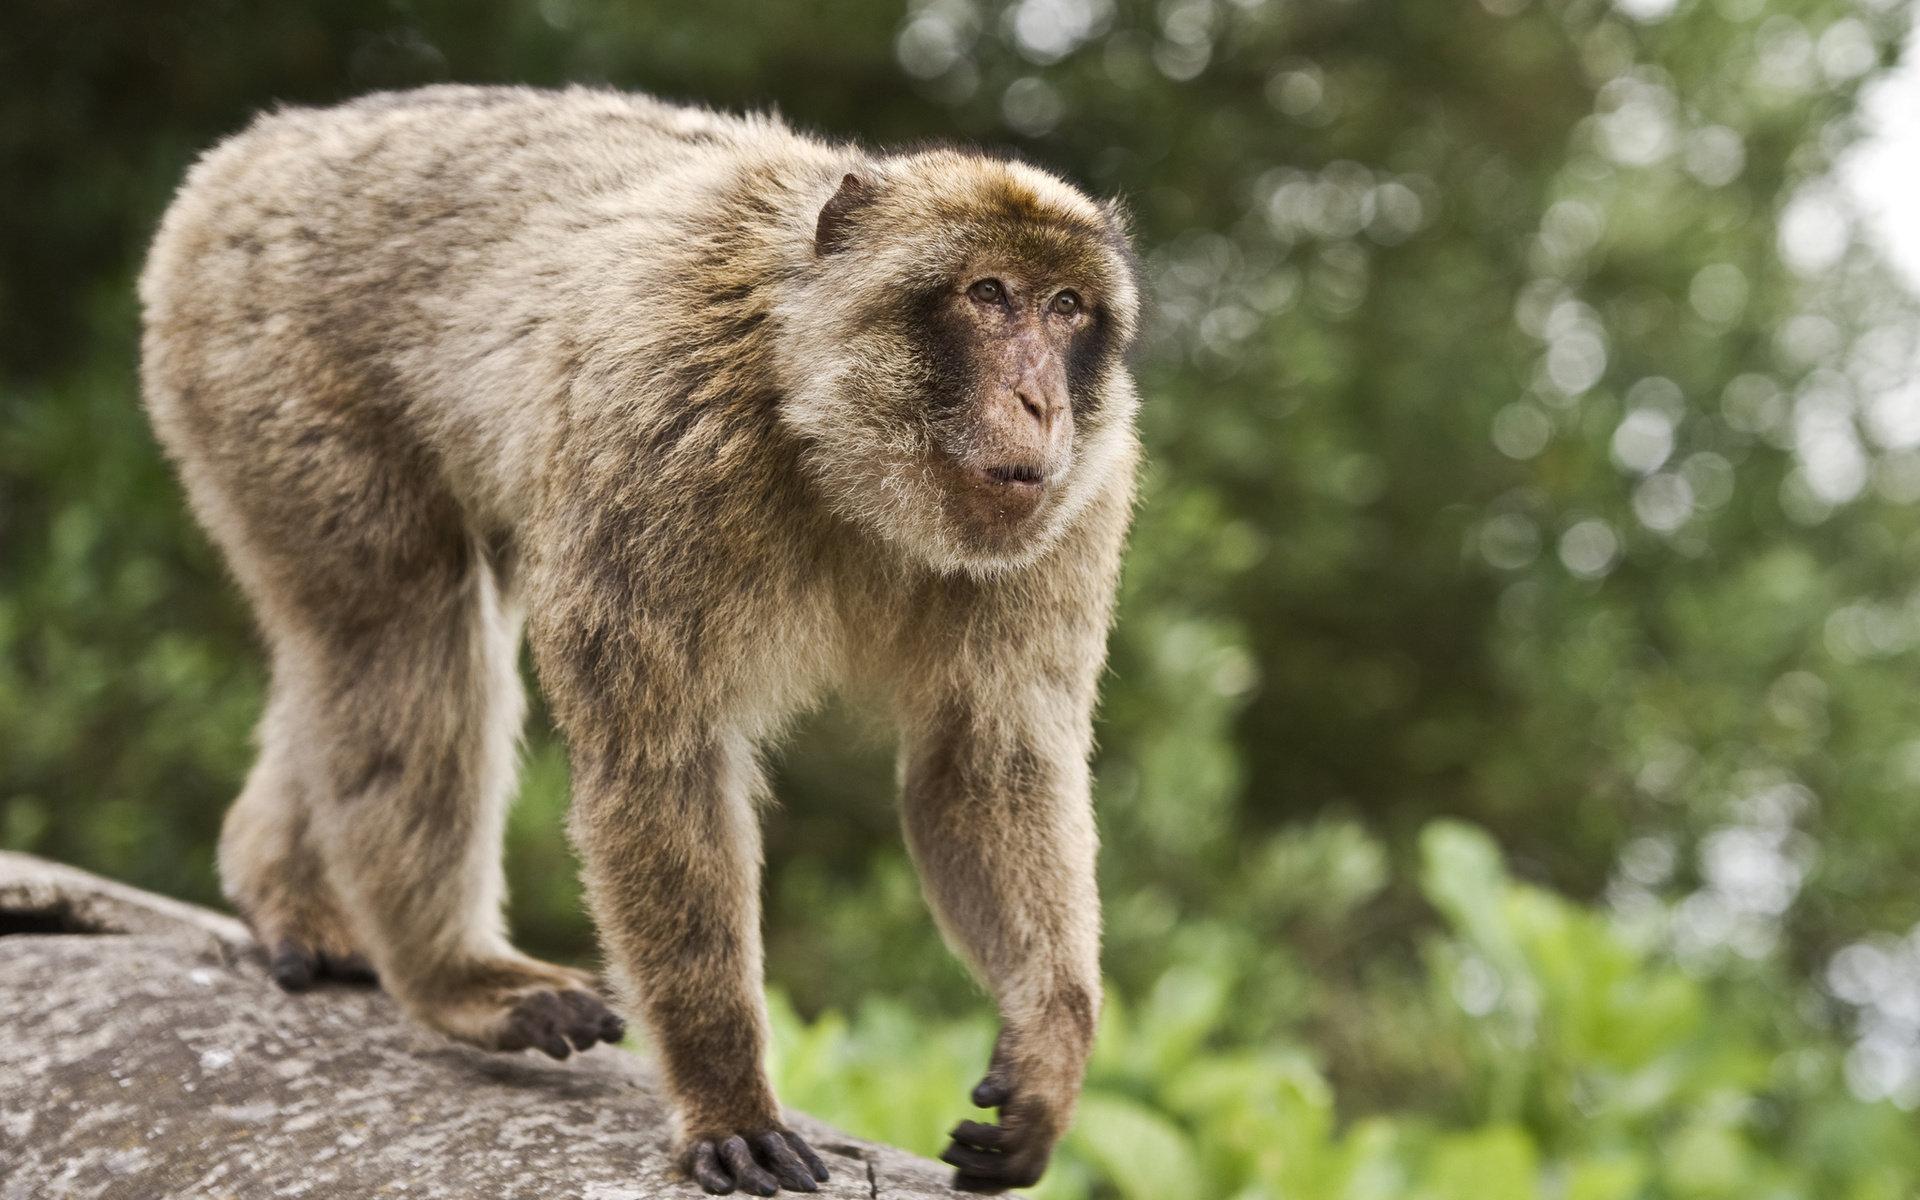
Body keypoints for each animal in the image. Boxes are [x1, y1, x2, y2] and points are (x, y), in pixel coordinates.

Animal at [138, 84, 1141, 1196]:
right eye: (990, 295)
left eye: (1067, 309)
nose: (1042, 402)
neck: (814, 406)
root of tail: (264, 143)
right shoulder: (657, 433)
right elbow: (659, 763)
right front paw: (726, 1096)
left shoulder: (1081, 503)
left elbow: (984, 765)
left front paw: (1049, 1048)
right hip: (256, 352)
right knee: (396, 618)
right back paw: (450, 975)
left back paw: (287, 894)